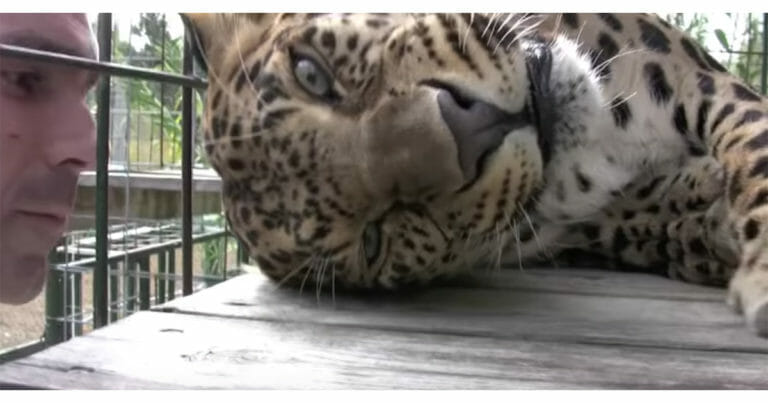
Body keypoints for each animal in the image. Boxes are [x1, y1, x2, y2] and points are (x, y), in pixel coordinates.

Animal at [182, 13, 768, 337]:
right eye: (374, 239)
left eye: (312, 73)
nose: (470, 130)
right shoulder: (577, 232)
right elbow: (638, 224)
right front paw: (700, 218)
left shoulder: (696, 79)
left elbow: (754, 147)